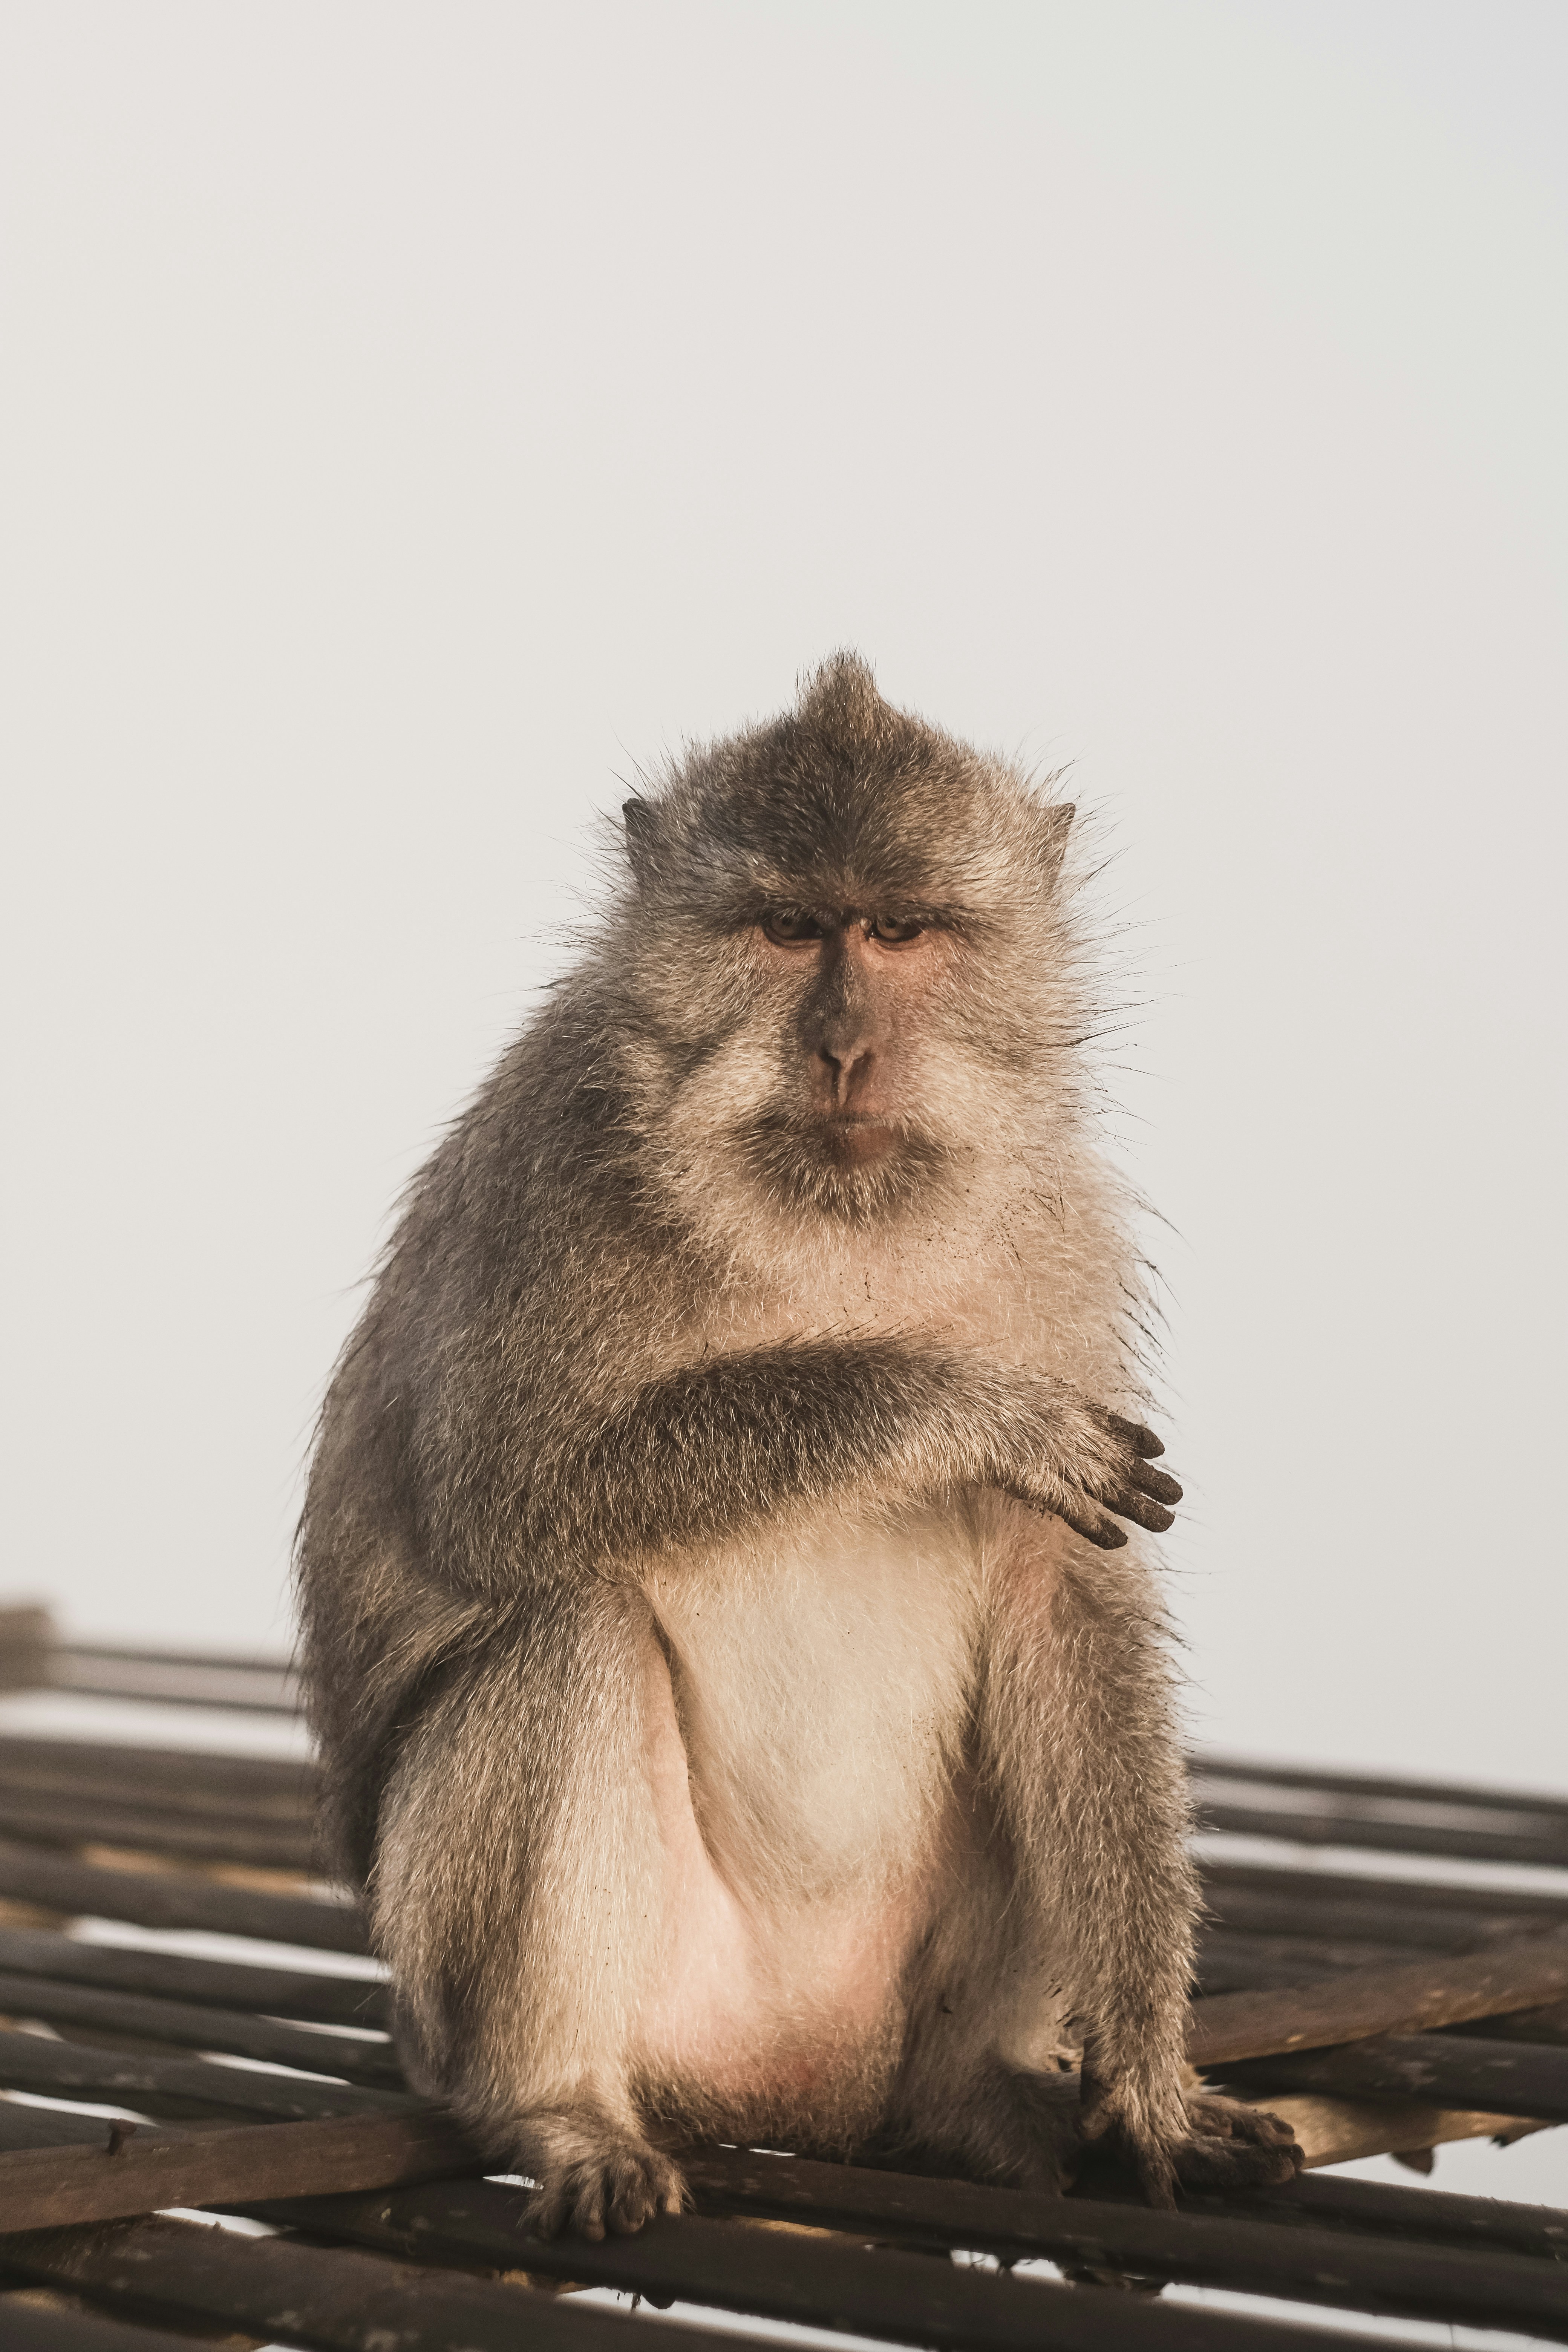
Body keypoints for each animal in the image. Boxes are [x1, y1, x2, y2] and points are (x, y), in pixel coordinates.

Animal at [295, 653, 1302, 2238]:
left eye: (898, 931)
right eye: (785, 931)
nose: (843, 1047)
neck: (832, 1218)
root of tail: (798, 2098)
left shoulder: (1062, 1233)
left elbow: (1060, 1597)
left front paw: (1151, 2074)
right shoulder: (547, 1168)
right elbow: (503, 1490)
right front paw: (950, 1408)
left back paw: (975, 2094)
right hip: (520, 2007)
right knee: (568, 1630)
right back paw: (562, 2107)